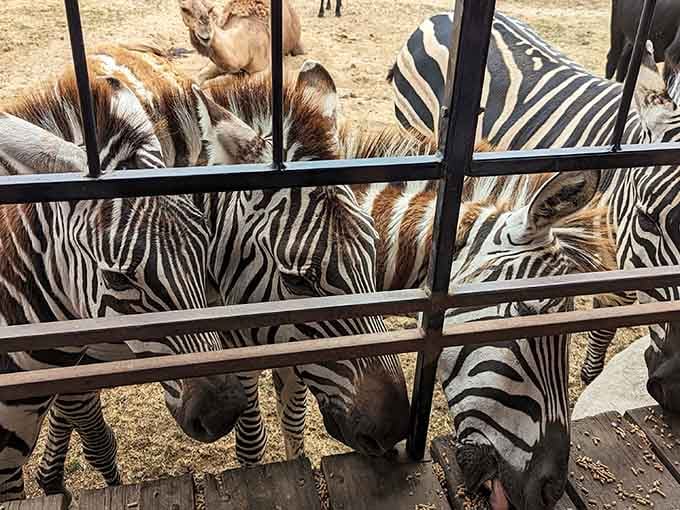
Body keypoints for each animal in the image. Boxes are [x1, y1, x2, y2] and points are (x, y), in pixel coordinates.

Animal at [34, 51, 411, 493]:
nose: (394, 429)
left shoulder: (281, 339)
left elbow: (293, 421)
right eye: (297, 280)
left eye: (373, 249)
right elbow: (250, 441)